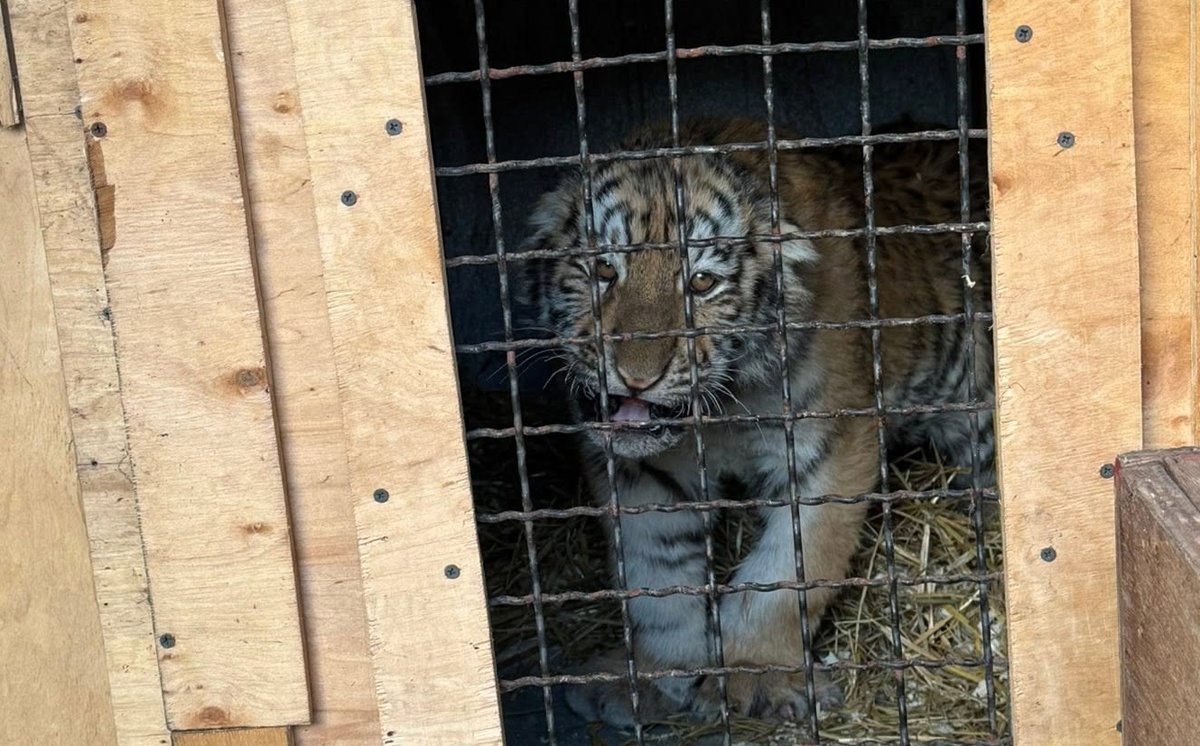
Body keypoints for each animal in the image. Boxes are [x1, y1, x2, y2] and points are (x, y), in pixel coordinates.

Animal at [517, 118, 993, 728]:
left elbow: (790, 572)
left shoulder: (829, 450)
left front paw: (756, 675)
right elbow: (657, 576)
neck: (721, 411)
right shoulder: (644, 473)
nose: (636, 378)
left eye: (701, 282)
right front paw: (653, 676)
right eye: (603, 269)